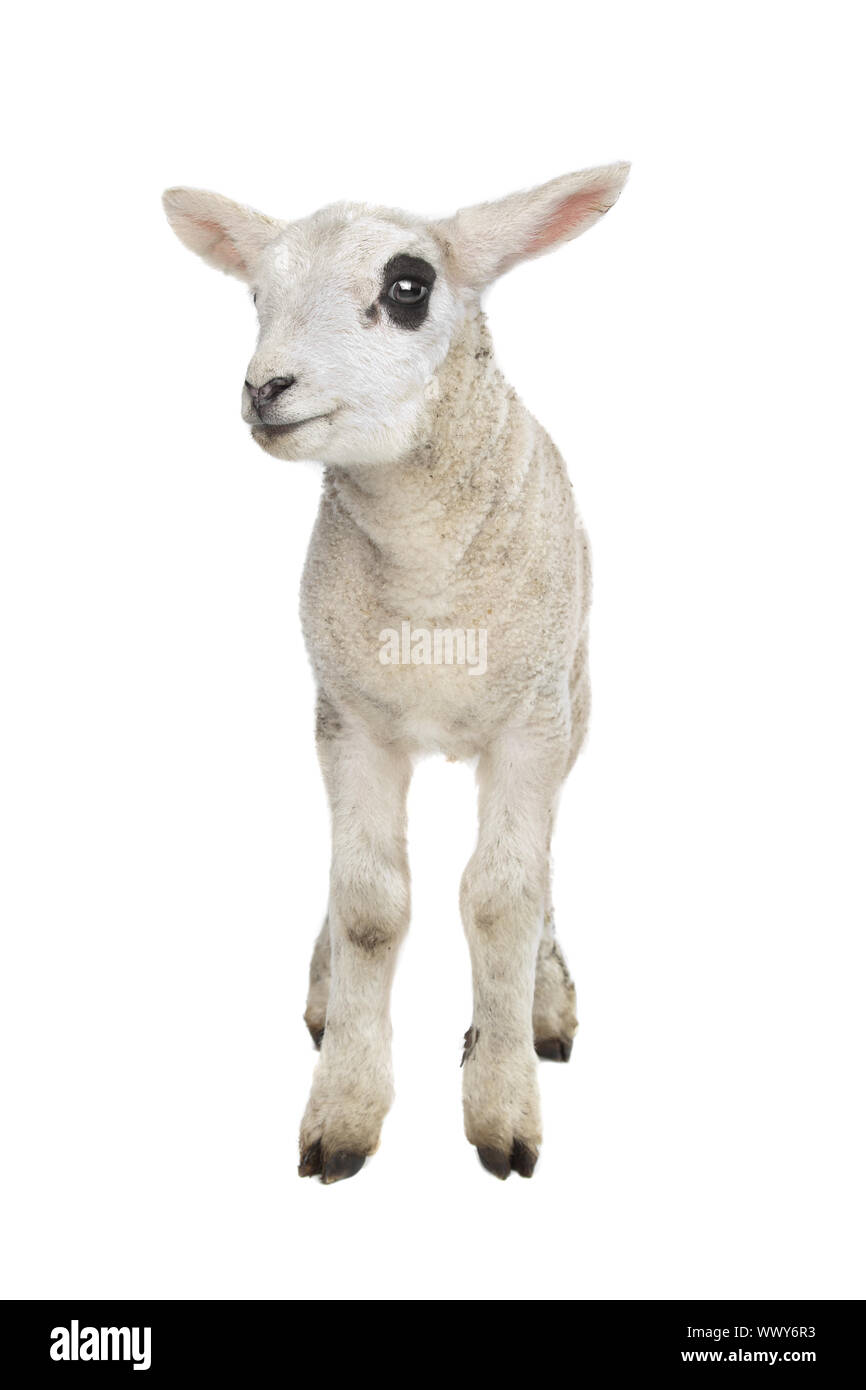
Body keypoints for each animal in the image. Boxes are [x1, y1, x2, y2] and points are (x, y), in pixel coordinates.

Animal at [163, 163, 630, 1182]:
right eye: (256, 295)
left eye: (409, 287)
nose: (264, 388)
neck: (428, 592)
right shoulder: (348, 717)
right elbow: (369, 905)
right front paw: (343, 1104)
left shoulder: (531, 723)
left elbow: (503, 897)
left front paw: (502, 1104)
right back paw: (325, 985)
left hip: (575, 699)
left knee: (540, 868)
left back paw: (544, 998)